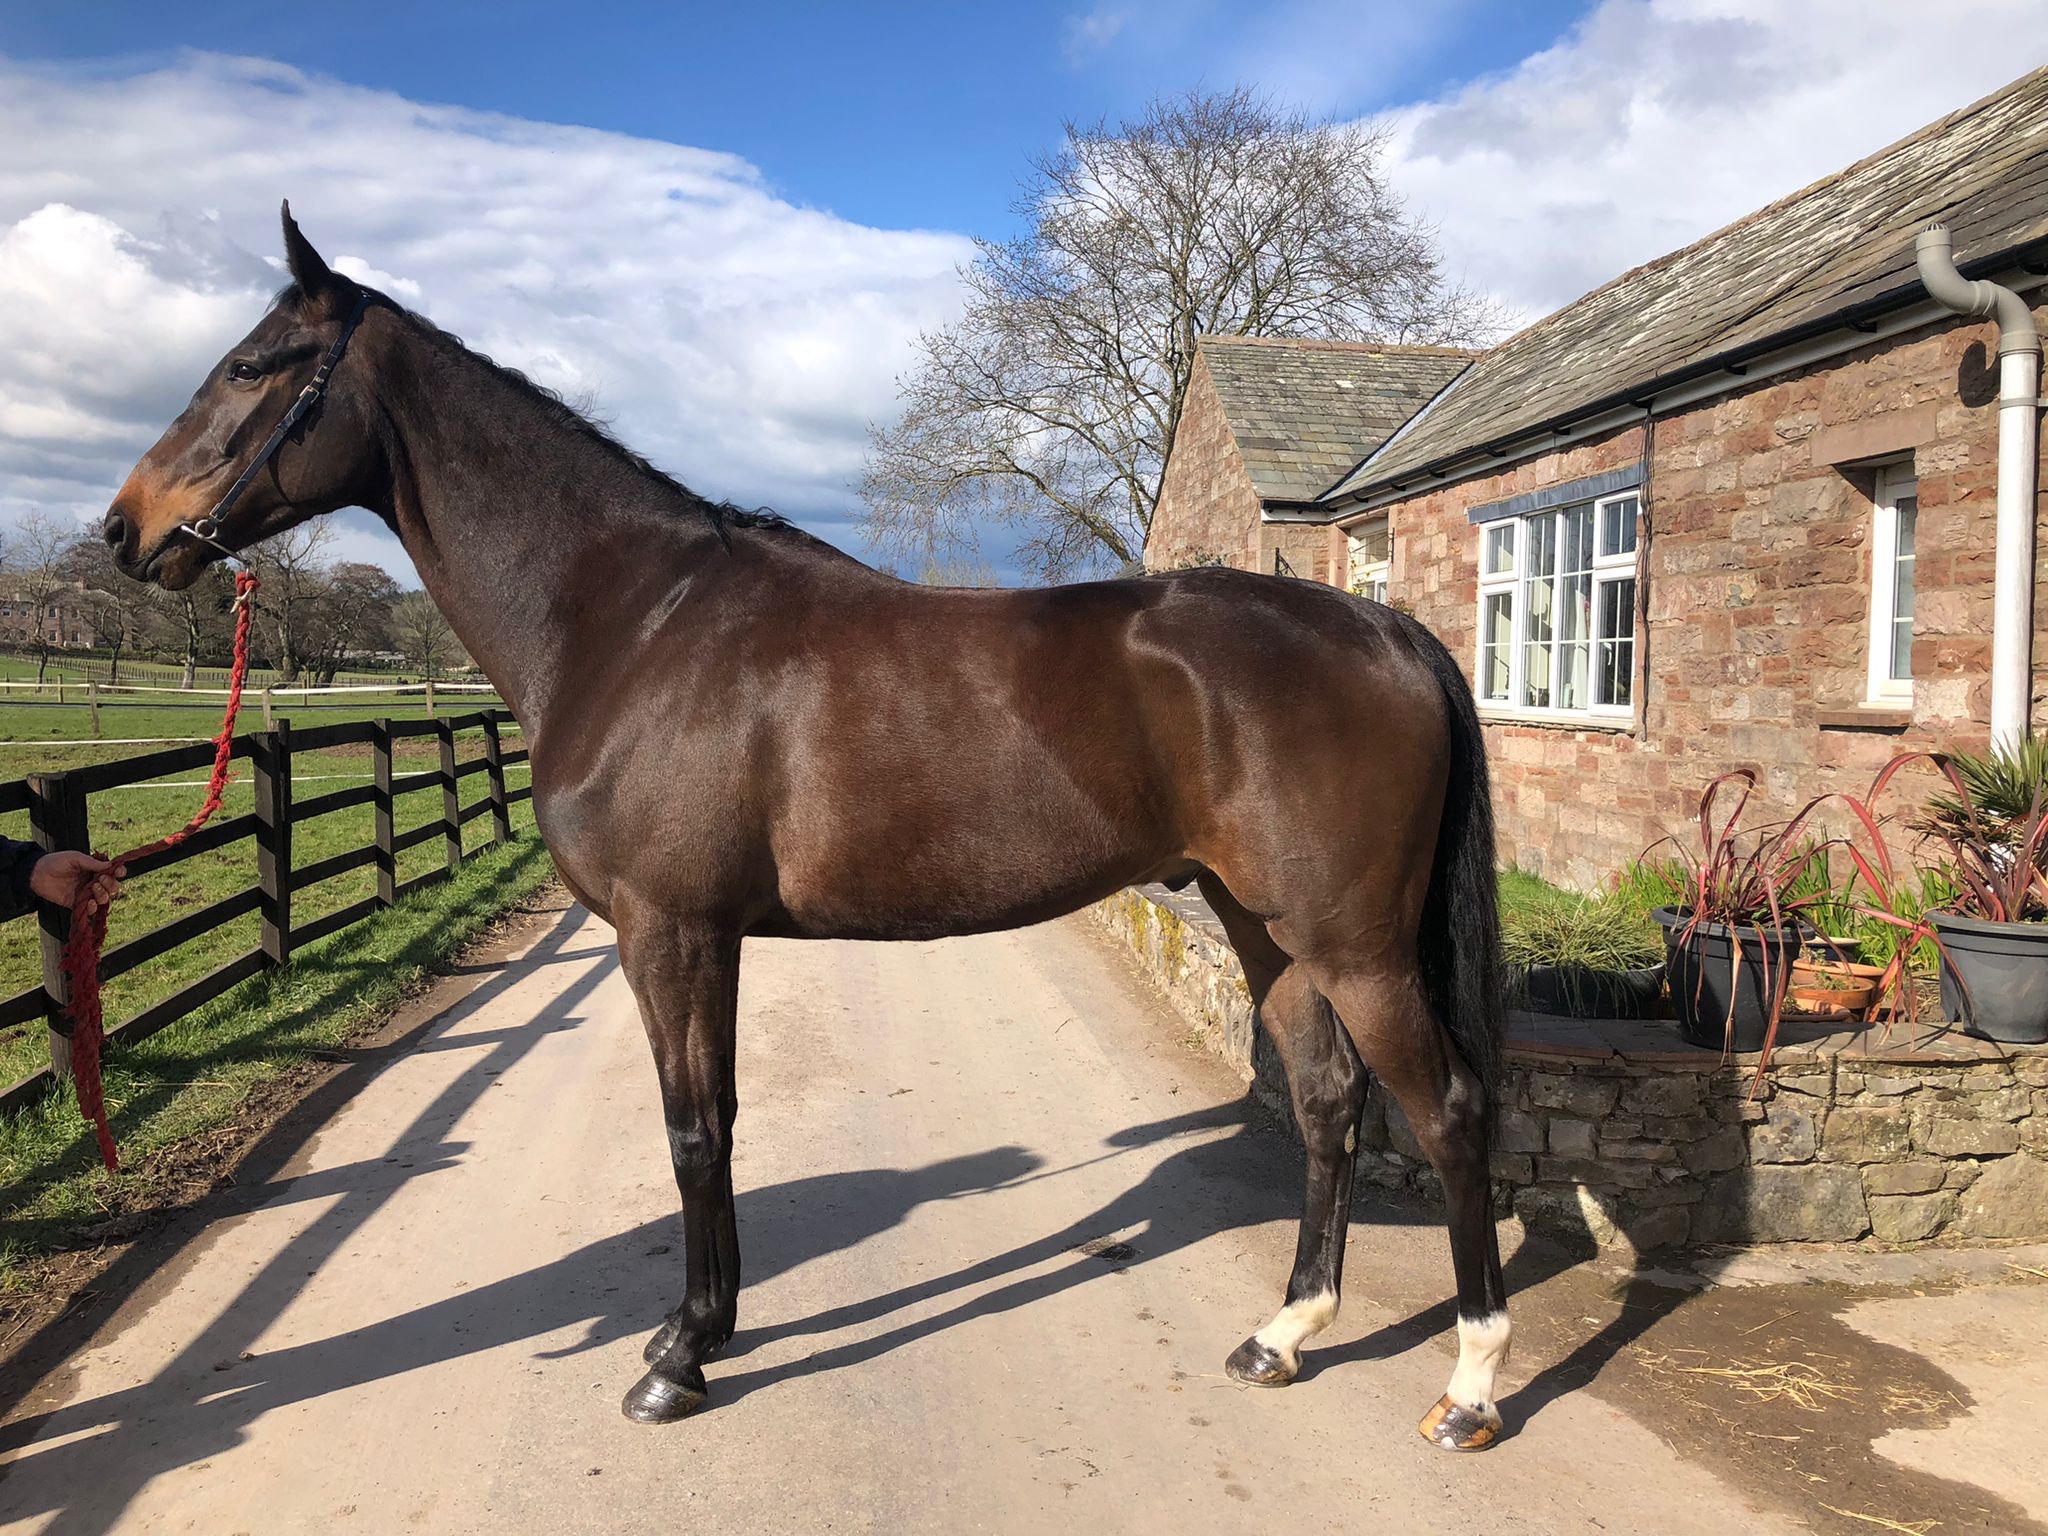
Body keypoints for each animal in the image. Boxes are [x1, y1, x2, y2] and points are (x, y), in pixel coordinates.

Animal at [102, 205, 1513, 1451]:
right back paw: (1283, 1334)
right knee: (1327, 1102)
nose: (126, 529)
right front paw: (705, 1331)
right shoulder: (705, 936)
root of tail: (1384, 625)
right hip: (1263, 923)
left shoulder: (670, 931)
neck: (633, 622)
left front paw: (679, 1358)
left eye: (252, 365)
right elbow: (717, 1119)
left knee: (1445, 1108)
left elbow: (692, 1128)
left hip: (1352, 941)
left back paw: (1469, 1387)